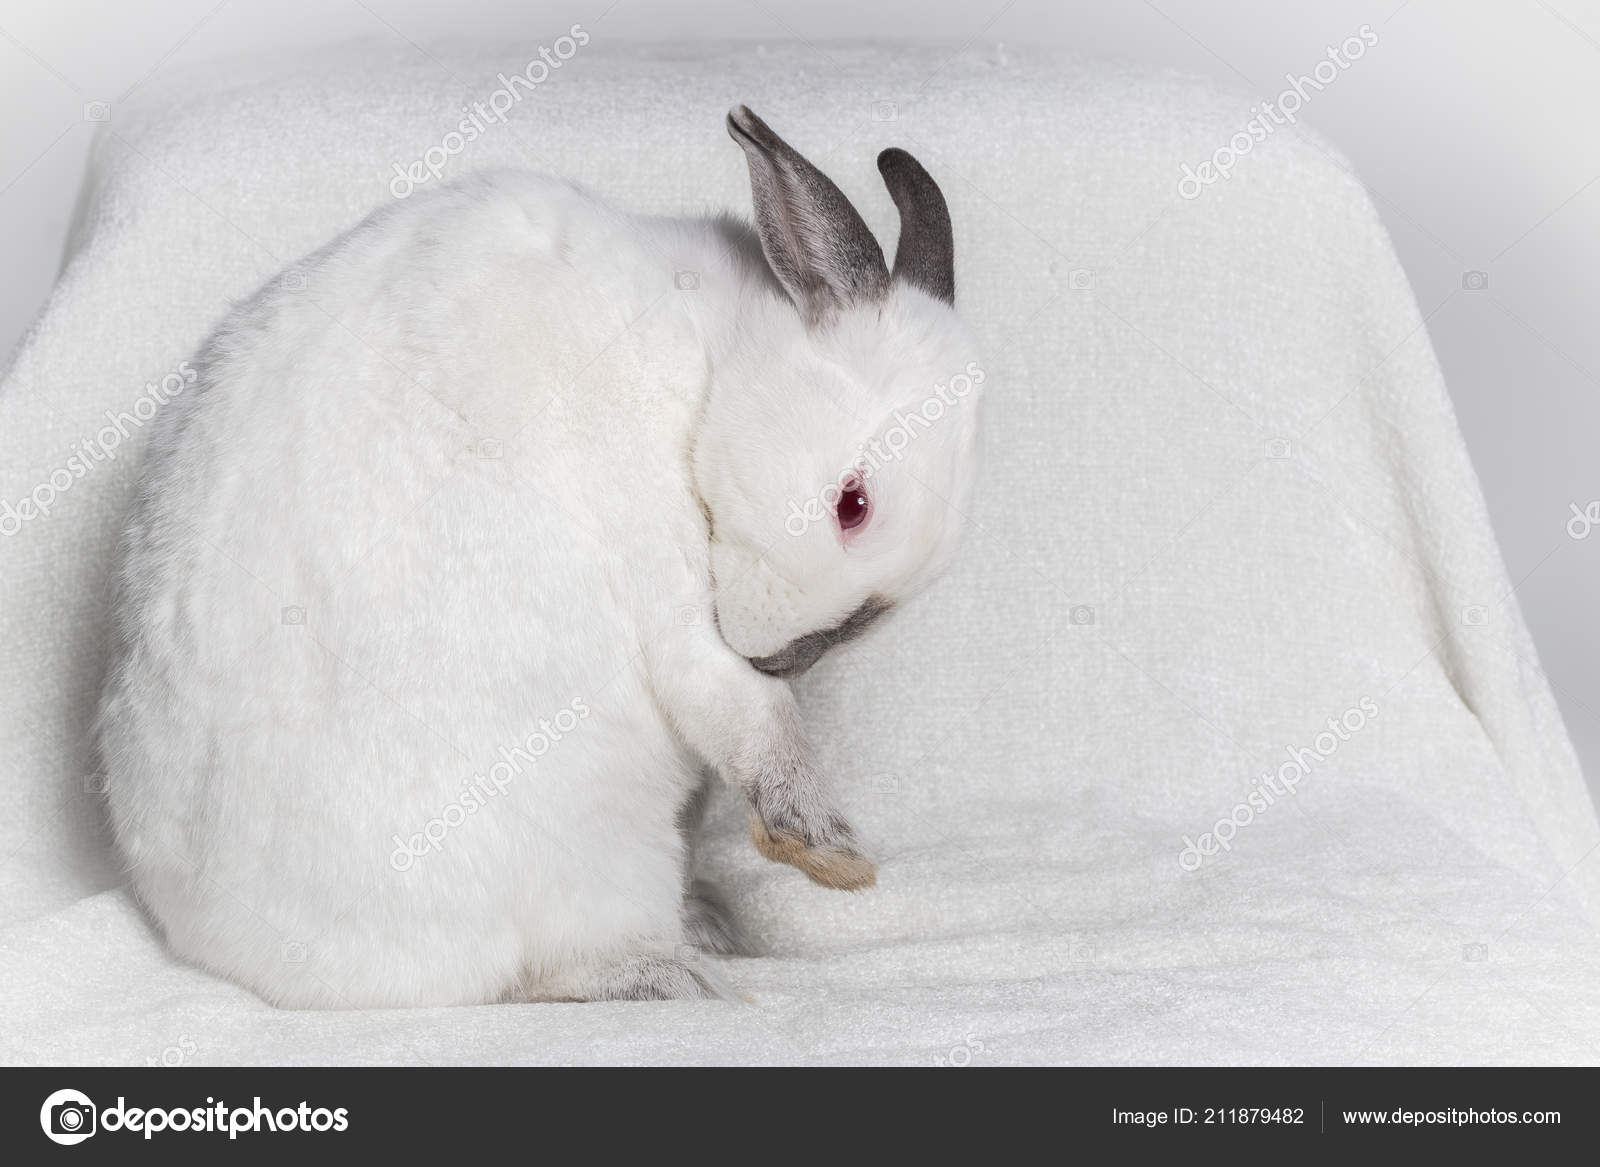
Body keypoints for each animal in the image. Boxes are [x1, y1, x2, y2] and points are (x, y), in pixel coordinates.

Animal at [95, 105, 984, 1007]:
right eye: (851, 504)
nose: (788, 661)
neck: (713, 356)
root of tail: (237, 952)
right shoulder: (665, 560)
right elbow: (733, 703)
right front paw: (831, 852)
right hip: (596, 848)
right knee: (549, 968)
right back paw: (676, 972)